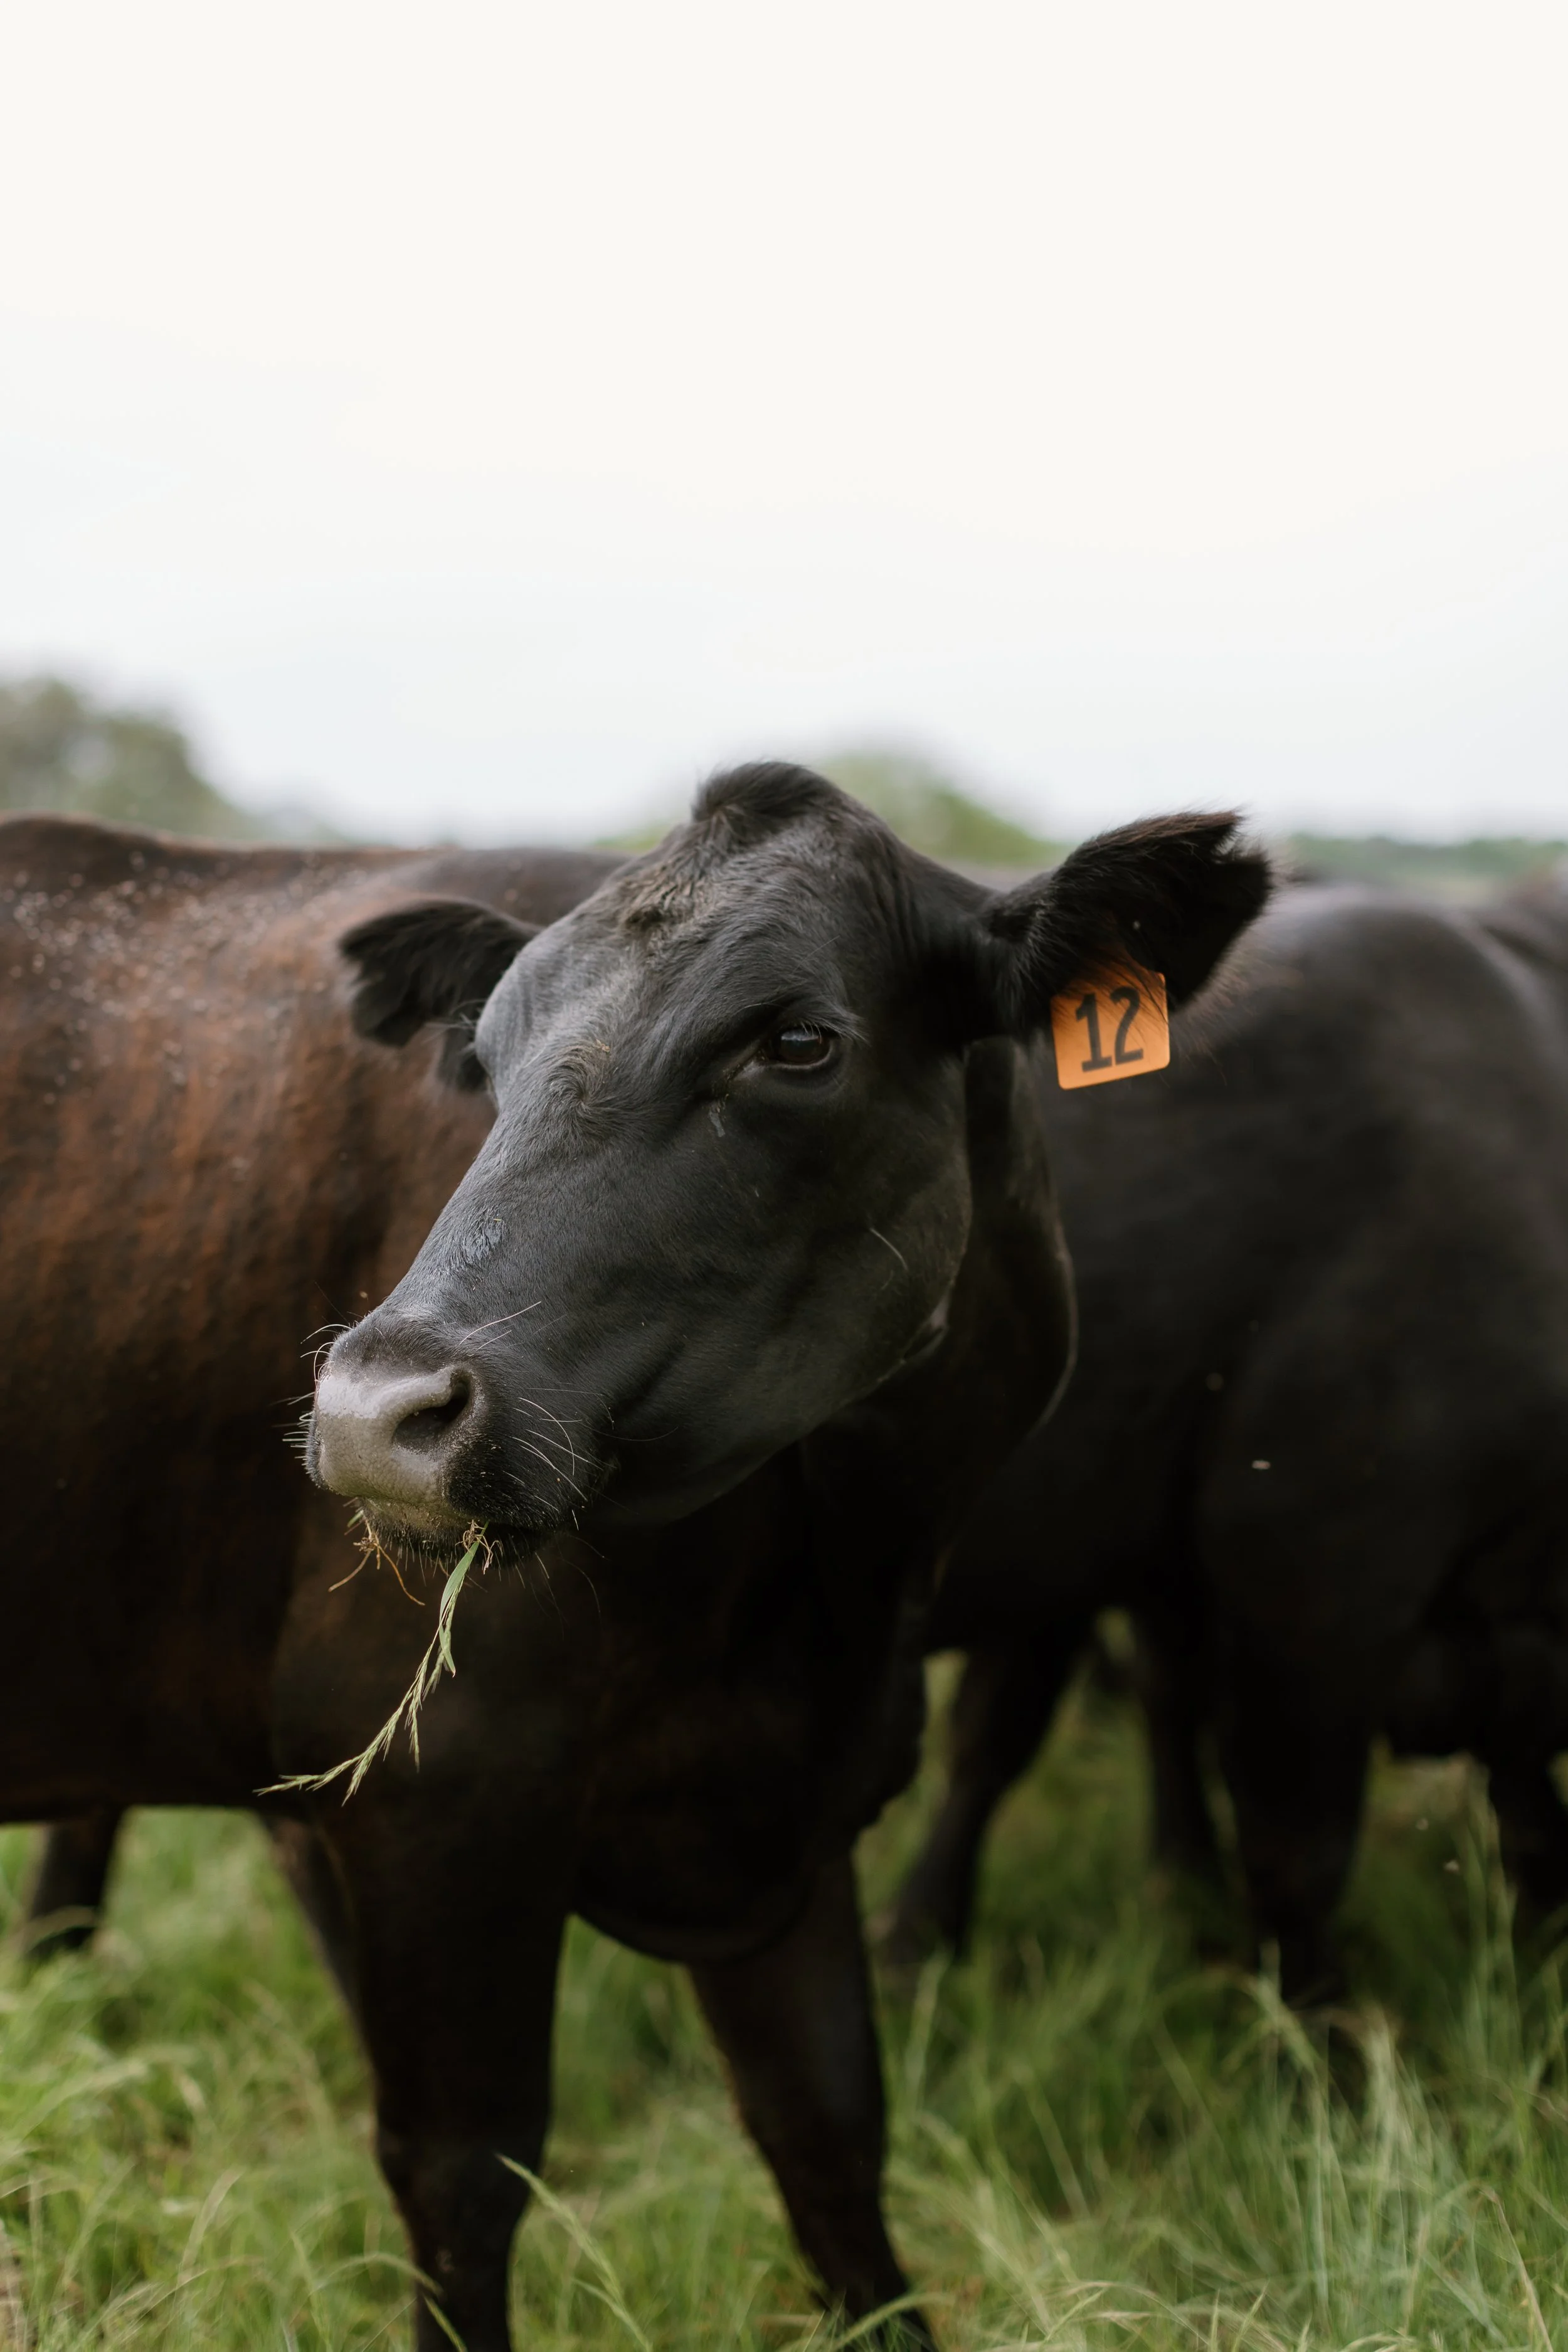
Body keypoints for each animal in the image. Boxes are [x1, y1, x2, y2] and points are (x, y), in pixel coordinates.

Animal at [2, 767, 1267, 2348]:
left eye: (797, 1042)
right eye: (483, 1058)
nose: (375, 1415)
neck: (825, 1587)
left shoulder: (791, 1800)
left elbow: (827, 2127)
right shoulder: (427, 1795)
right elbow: (462, 2177)